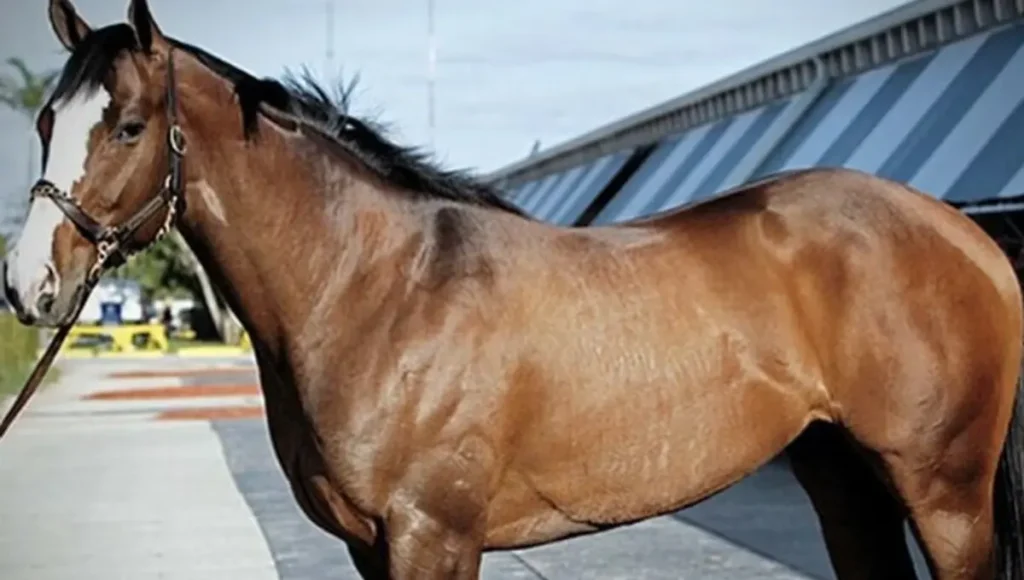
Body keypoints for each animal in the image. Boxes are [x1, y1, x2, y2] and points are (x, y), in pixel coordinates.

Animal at [3, 0, 1023, 578]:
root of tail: (964, 231)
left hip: (945, 492)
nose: (28, 285)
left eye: (129, 126)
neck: (376, 291)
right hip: (846, 481)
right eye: (47, 120)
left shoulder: (432, 540)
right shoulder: (369, 545)